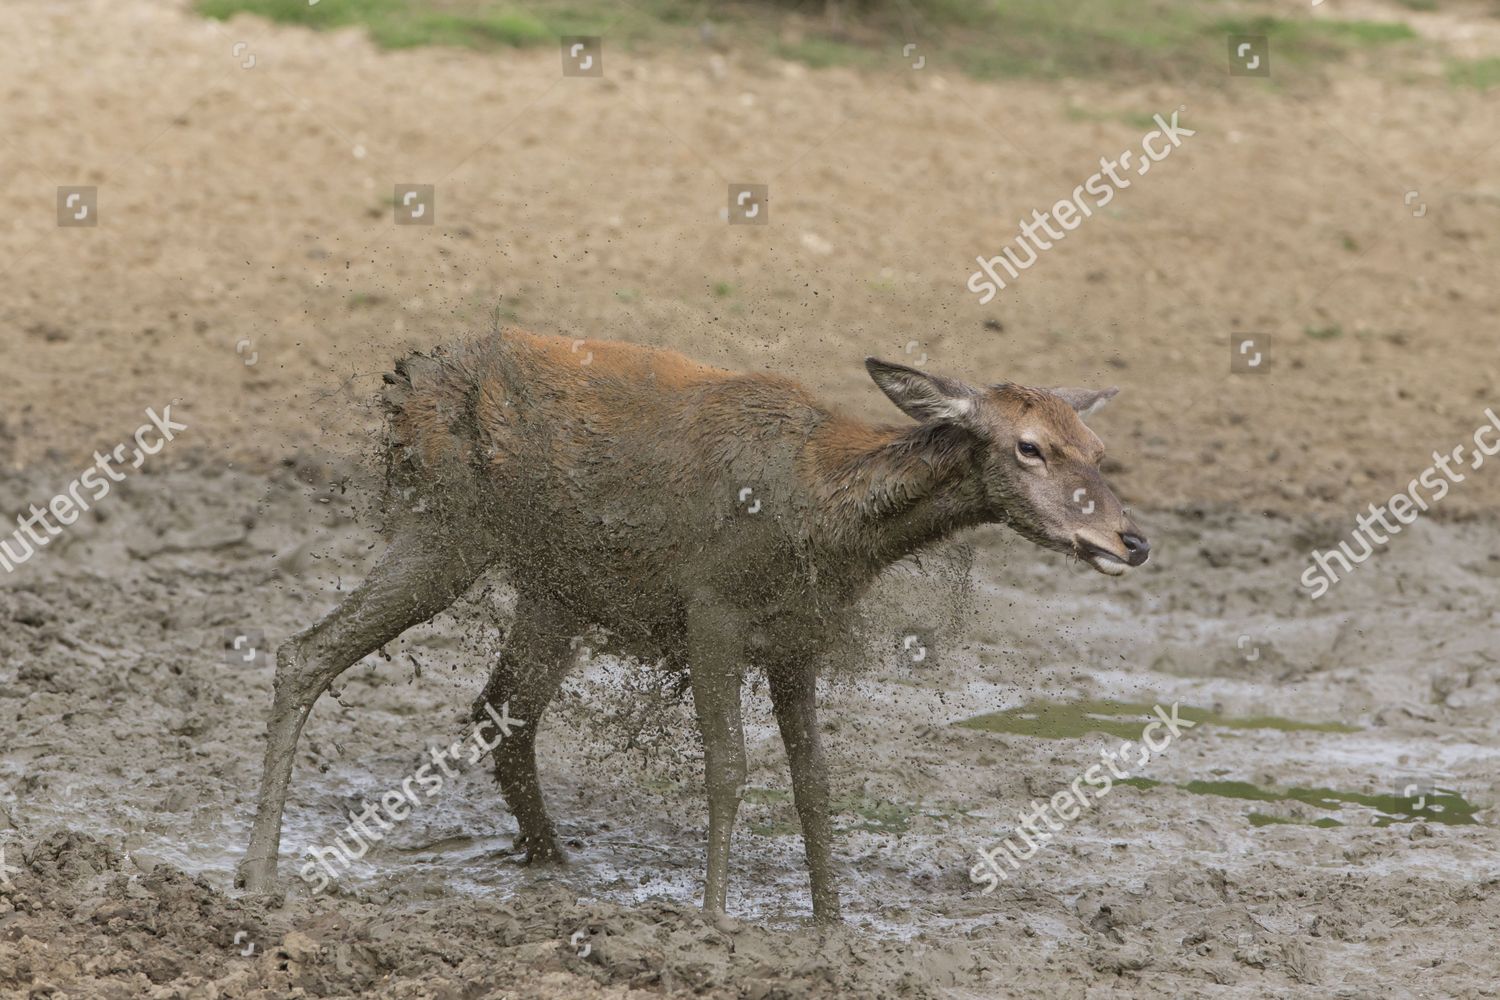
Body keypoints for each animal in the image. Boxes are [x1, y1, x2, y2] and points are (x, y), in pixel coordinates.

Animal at [236, 328, 1149, 925]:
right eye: (1030, 447)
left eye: (1098, 447)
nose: (1129, 539)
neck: (824, 521)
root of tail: (404, 381)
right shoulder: (711, 609)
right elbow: (728, 768)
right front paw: (713, 921)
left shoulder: (798, 640)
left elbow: (814, 783)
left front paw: (830, 924)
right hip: (447, 527)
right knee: (304, 653)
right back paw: (257, 875)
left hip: (553, 584)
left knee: (502, 709)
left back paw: (555, 865)